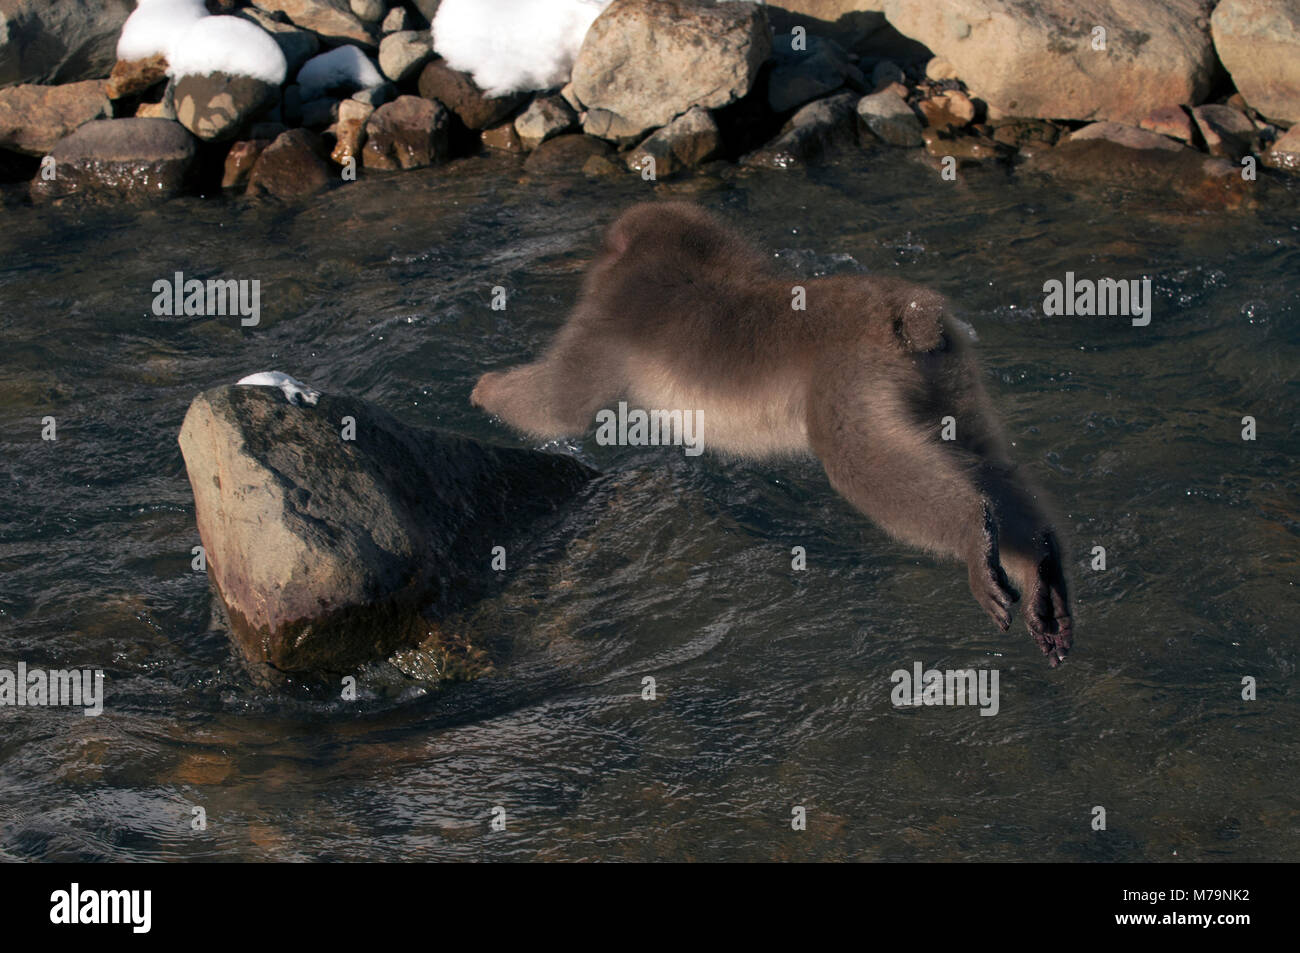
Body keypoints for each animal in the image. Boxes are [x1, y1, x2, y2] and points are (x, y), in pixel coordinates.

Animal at [471, 202, 1073, 665]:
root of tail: (911, 316)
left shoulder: (607, 325)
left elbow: (558, 404)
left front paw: (482, 389)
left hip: (848, 379)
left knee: (860, 461)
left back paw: (973, 532)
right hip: (951, 377)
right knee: (986, 457)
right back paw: (1040, 569)